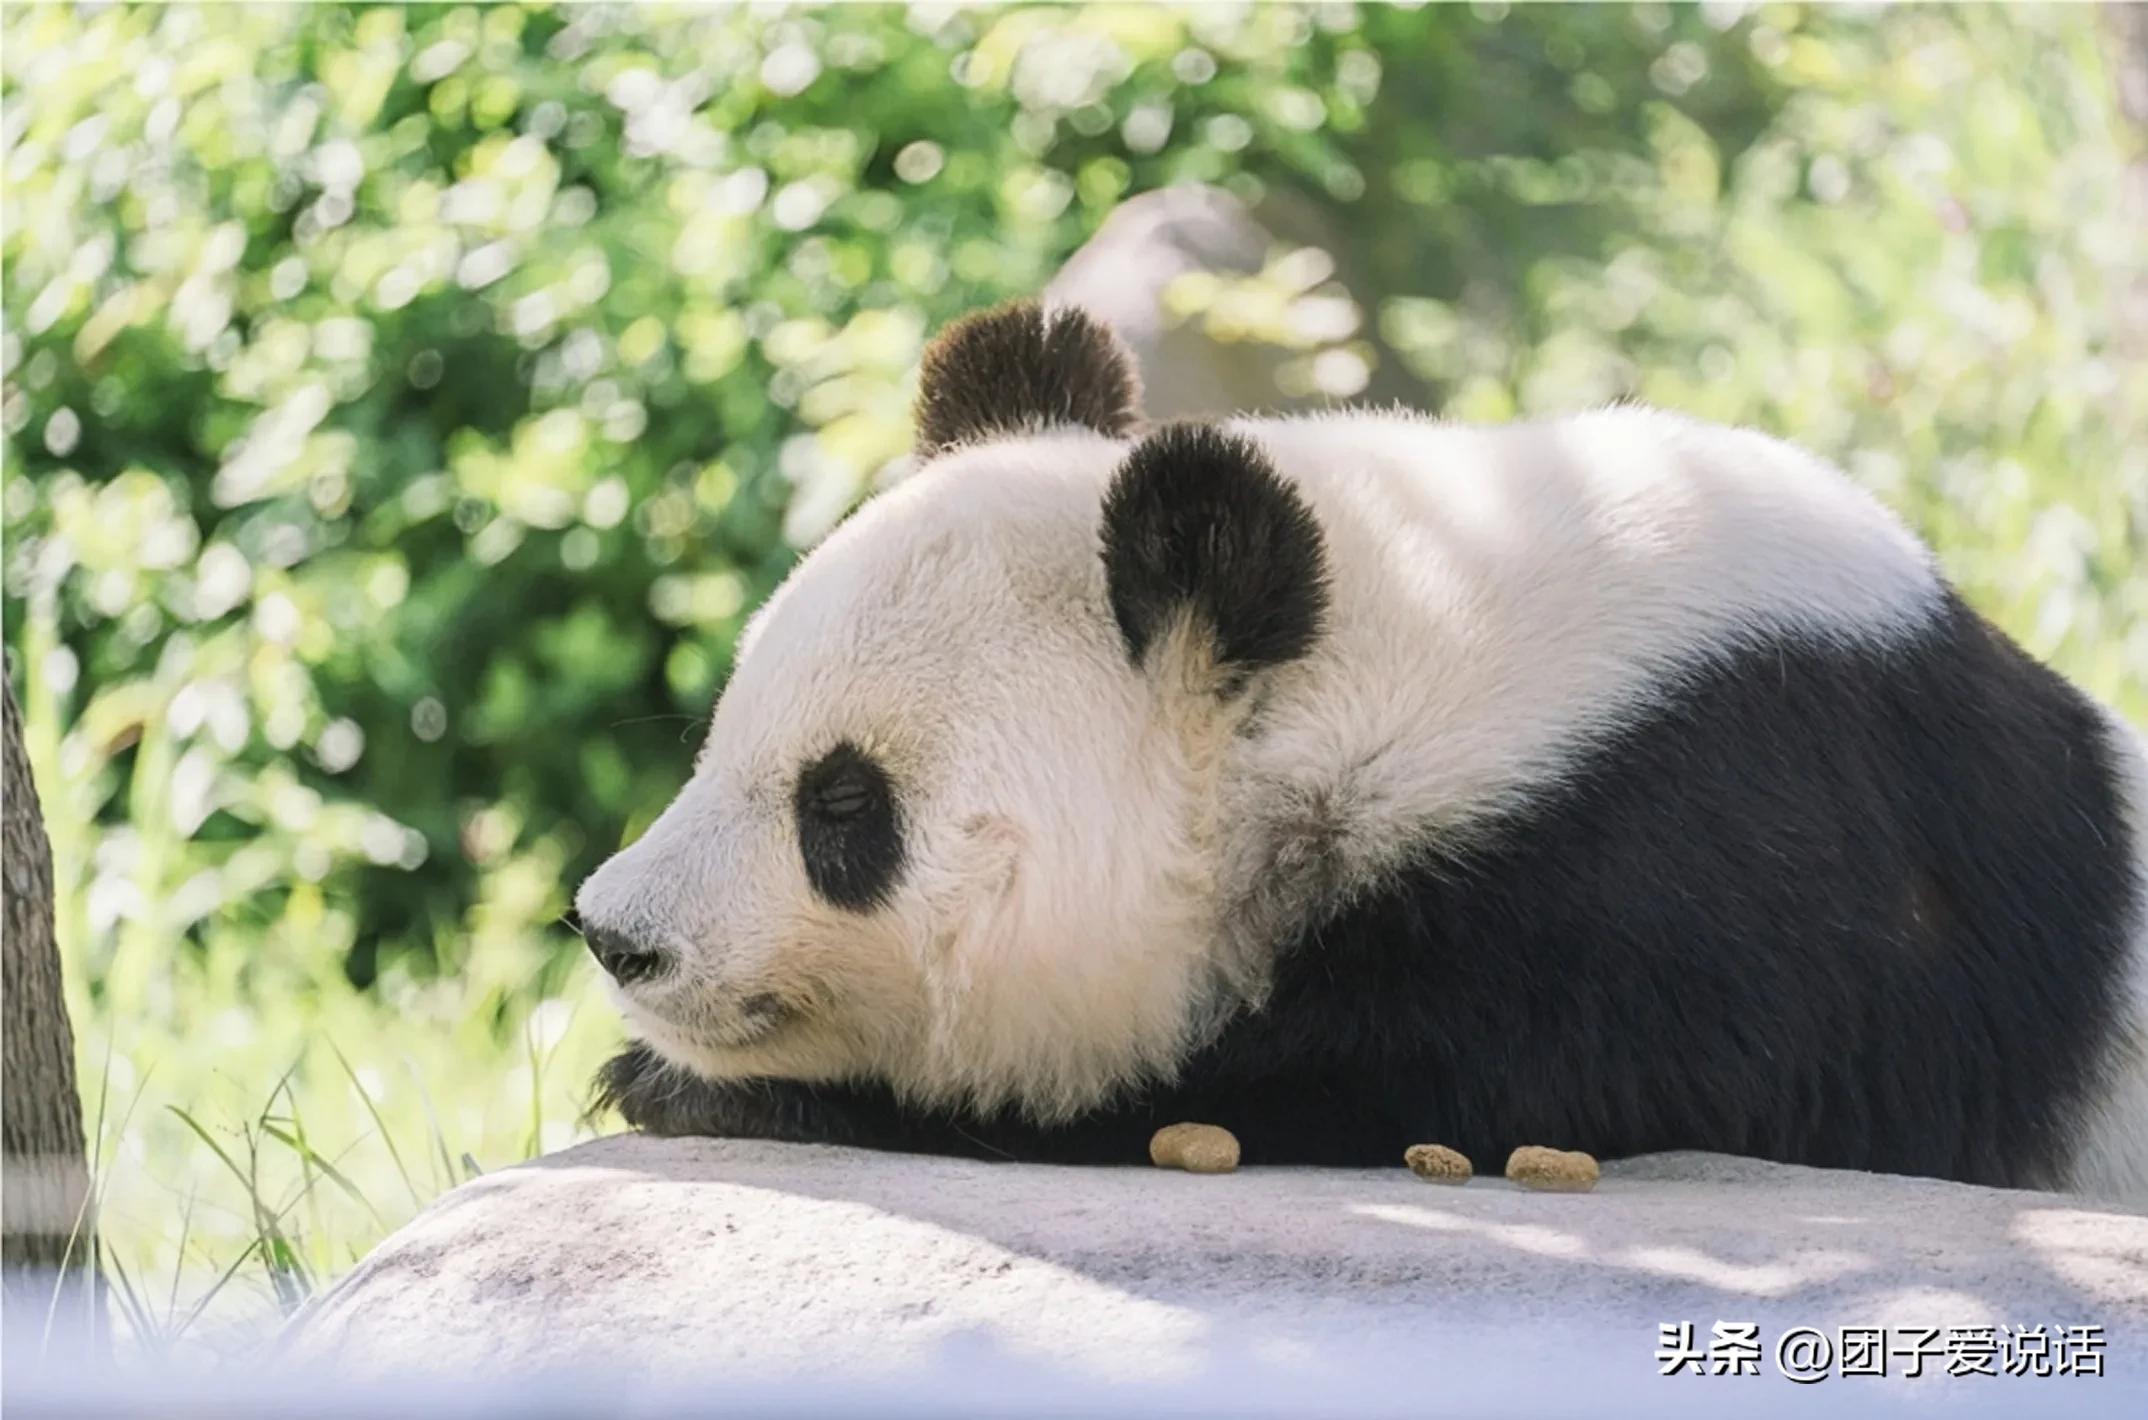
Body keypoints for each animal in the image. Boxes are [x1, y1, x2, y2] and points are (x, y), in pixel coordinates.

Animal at [574, 301, 2148, 1199]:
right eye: (725, 729)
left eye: (844, 805)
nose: (615, 935)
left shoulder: (1701, 870)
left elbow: (1351, 1087)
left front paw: (703, 1090)